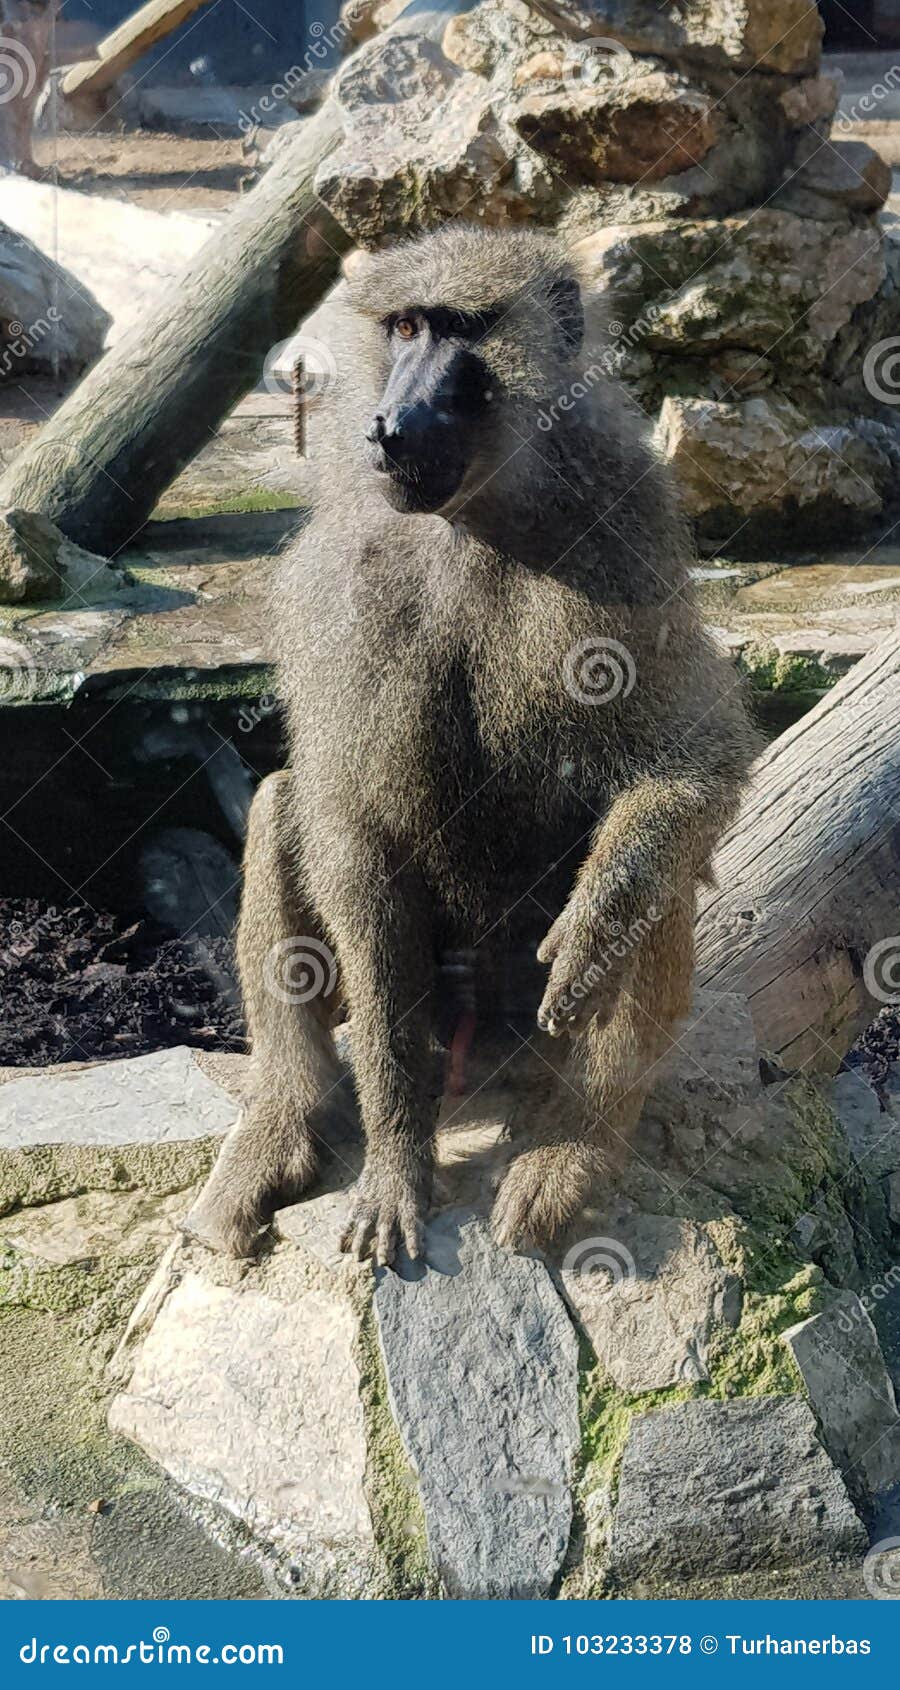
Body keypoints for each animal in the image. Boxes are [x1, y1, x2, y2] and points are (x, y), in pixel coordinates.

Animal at [184, 223, 758, 1266]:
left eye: (462, 331)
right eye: (405, 327)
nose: (389, 425)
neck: (473, 519)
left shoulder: (631, 527)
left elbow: (685, 769)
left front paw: (595, 930)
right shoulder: (339, 581)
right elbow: (348, 831)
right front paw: (394, 1164)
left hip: (522, 1046)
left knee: (666, 868)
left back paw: (570, 1150)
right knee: (284, 804)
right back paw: (281, 1124)